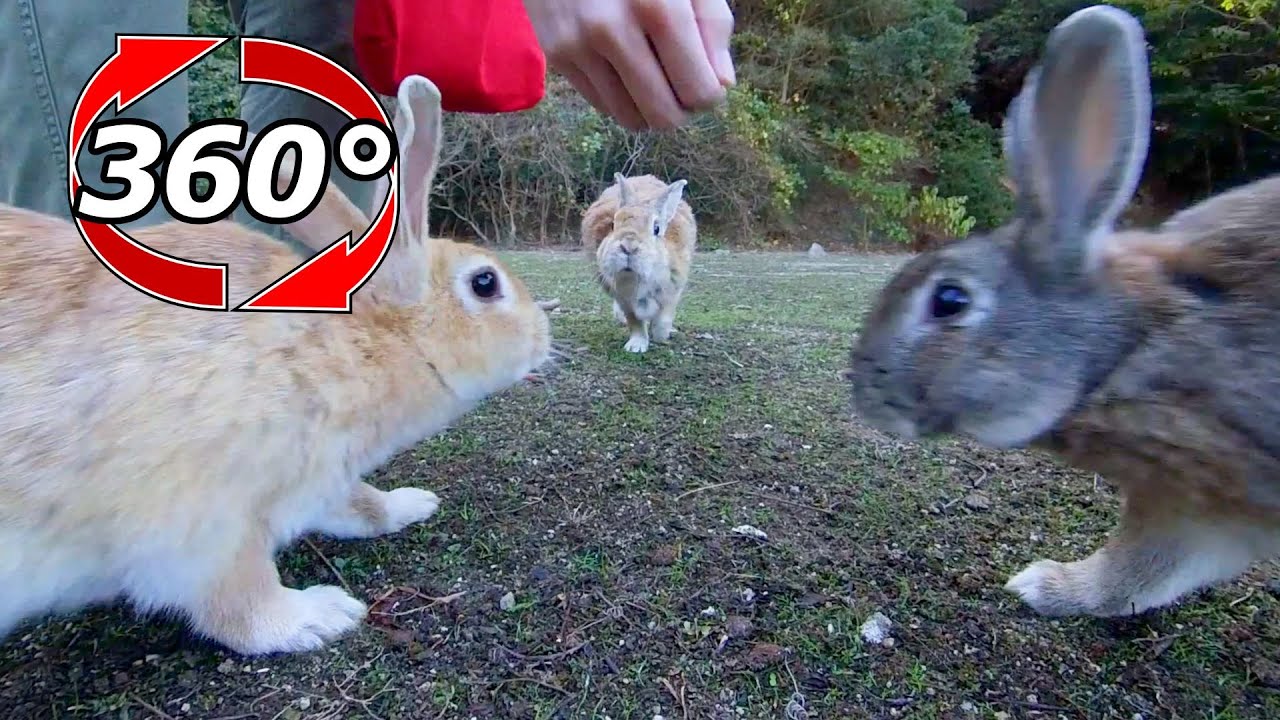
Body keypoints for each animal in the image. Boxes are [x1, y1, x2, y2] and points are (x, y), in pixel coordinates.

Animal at [0, 74, 554, 655]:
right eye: (485, 283)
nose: (543, 336)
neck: (354, 344)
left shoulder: (321, 479)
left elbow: (359, 507)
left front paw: (410, 504)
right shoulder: (203, 523)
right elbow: (240, 601)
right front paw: (321, 615)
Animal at [581, 173, 696, 353]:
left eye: (656, 228)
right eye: (613, 225)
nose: (628, 247)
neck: (637, 278)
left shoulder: (673, 289)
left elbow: (663, 318)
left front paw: (661, 336)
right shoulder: (625, 300)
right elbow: (635, 323)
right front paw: (635, 346)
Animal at [845, 4, 1280, 619]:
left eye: (949, 300)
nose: (864, 390)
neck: (1129, 345)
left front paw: (1042, 586)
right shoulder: (1196, 507)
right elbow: (1140, 570)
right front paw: (1051, 586)